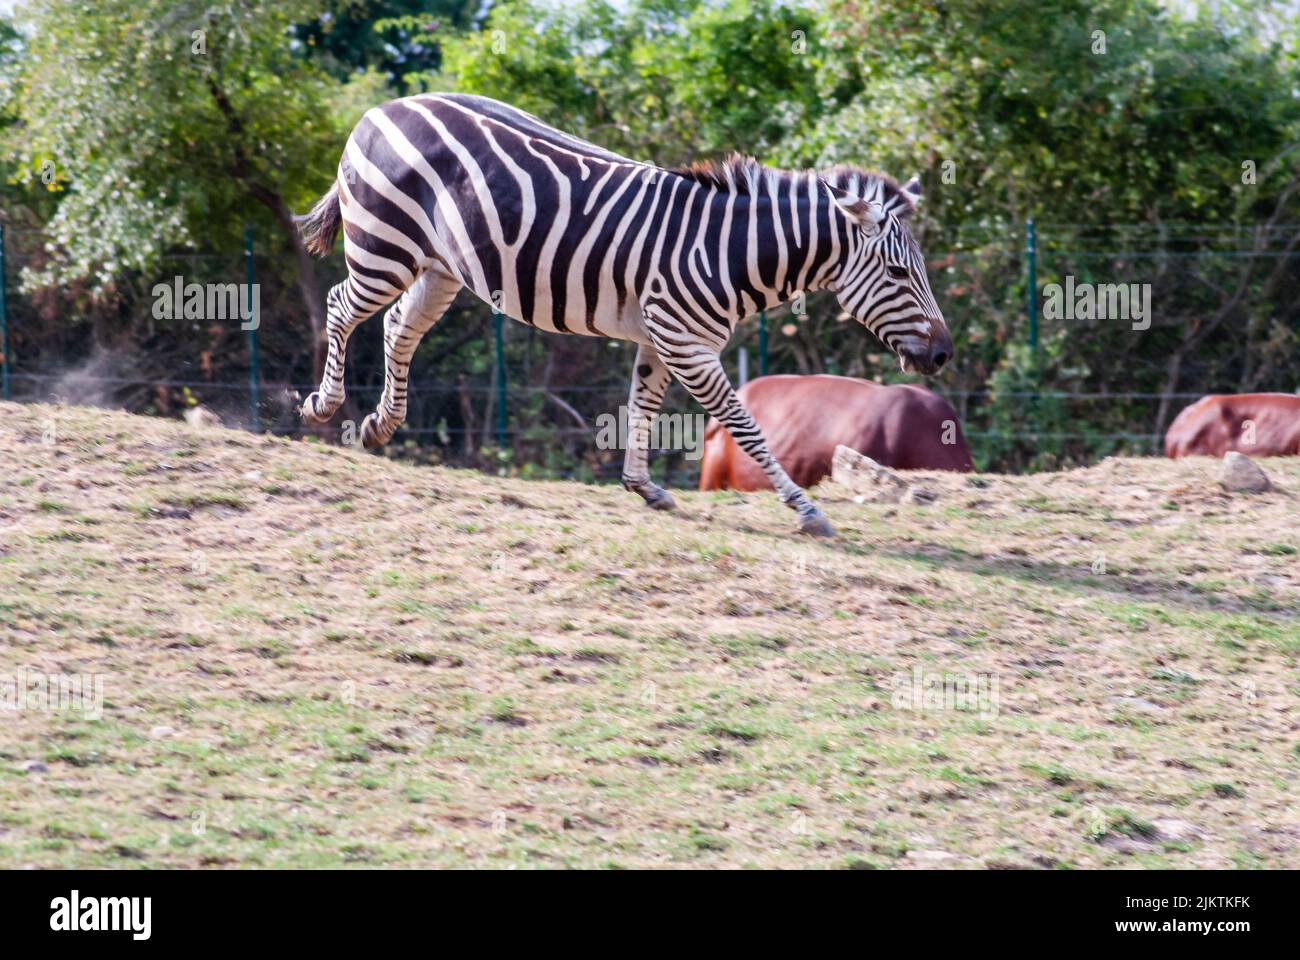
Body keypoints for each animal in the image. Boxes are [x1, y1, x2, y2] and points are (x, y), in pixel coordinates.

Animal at [296, 93, 953, 537]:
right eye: (899, 275)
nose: (945, 354)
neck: (729, 250)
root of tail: (382, 108)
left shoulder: (660, 339)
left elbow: (642, 409)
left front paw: (643, 487)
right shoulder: (685, 342)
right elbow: (745, 427)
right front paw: (807, 508)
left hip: (438, 268)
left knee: (396, 327)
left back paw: (381, 423)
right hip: (385, 249)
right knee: (338, 305)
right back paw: (325, 404)